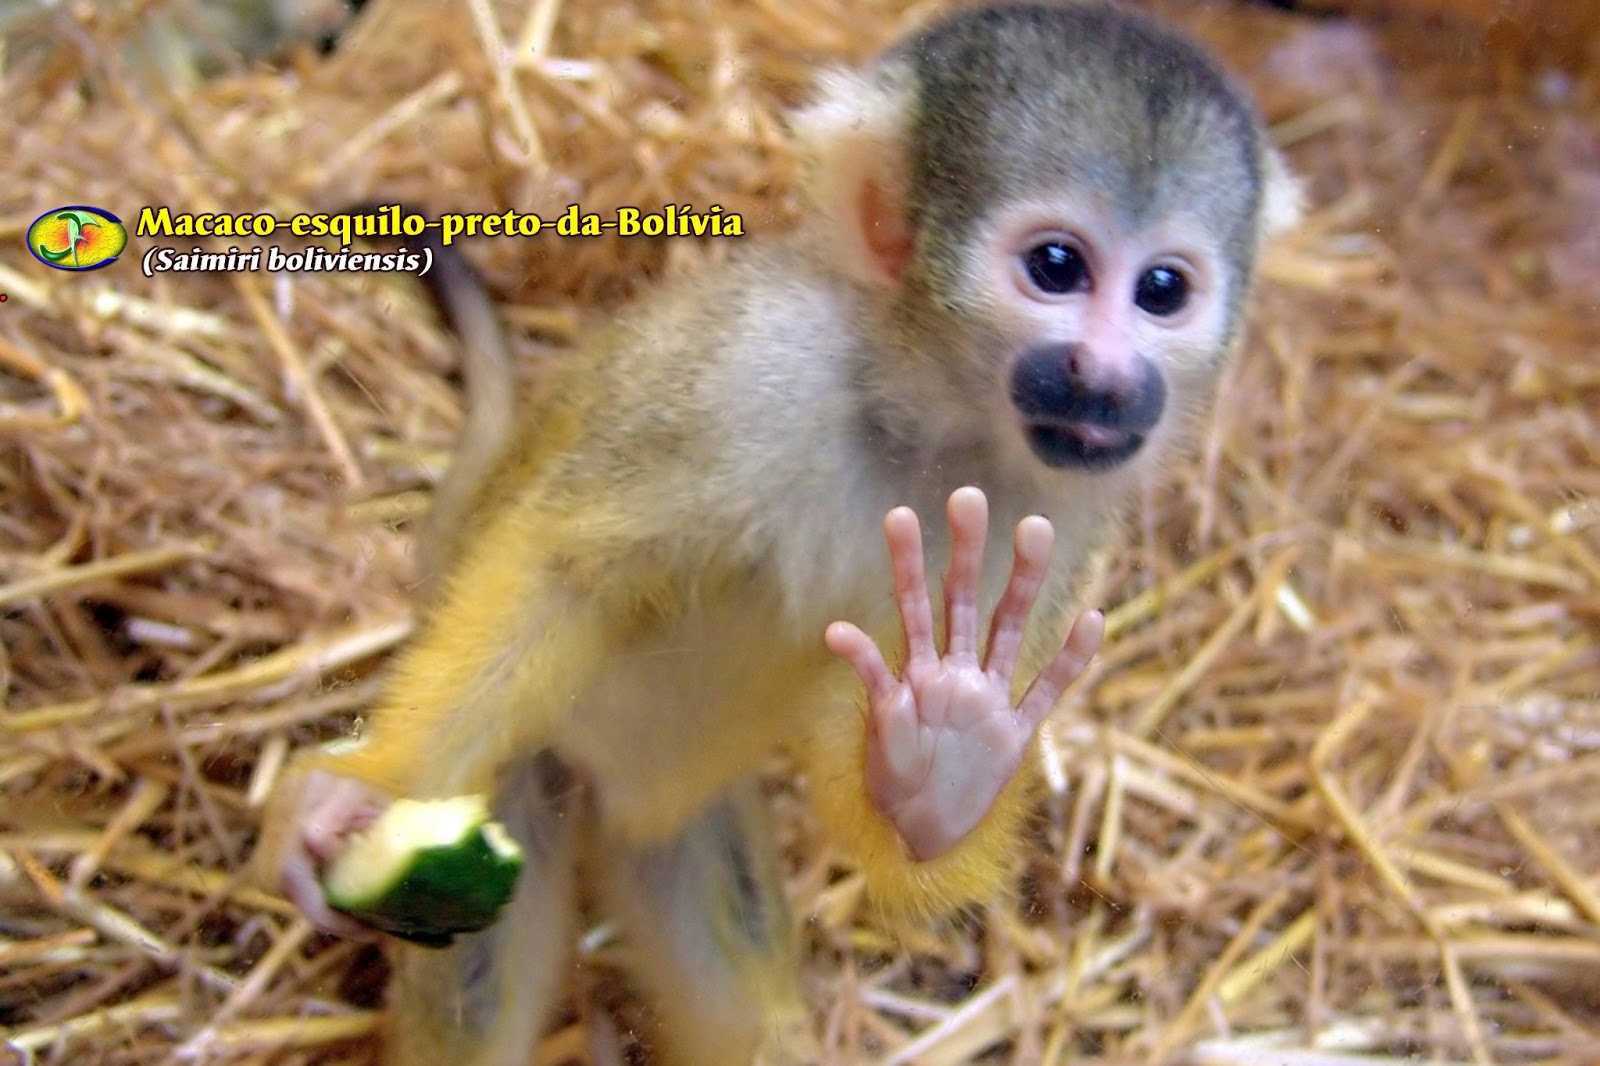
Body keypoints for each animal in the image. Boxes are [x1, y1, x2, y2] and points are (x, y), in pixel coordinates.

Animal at [251, 3, 1303, 1064]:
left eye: (1163, 289)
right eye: (1057, 267)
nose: (1109, 379)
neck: (923, 417)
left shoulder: (1062, 516)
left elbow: (875, 781)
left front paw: (944, 768)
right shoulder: (751, 362)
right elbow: (570, 568)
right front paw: (361, 789)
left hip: (677, 816)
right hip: (522, 760)